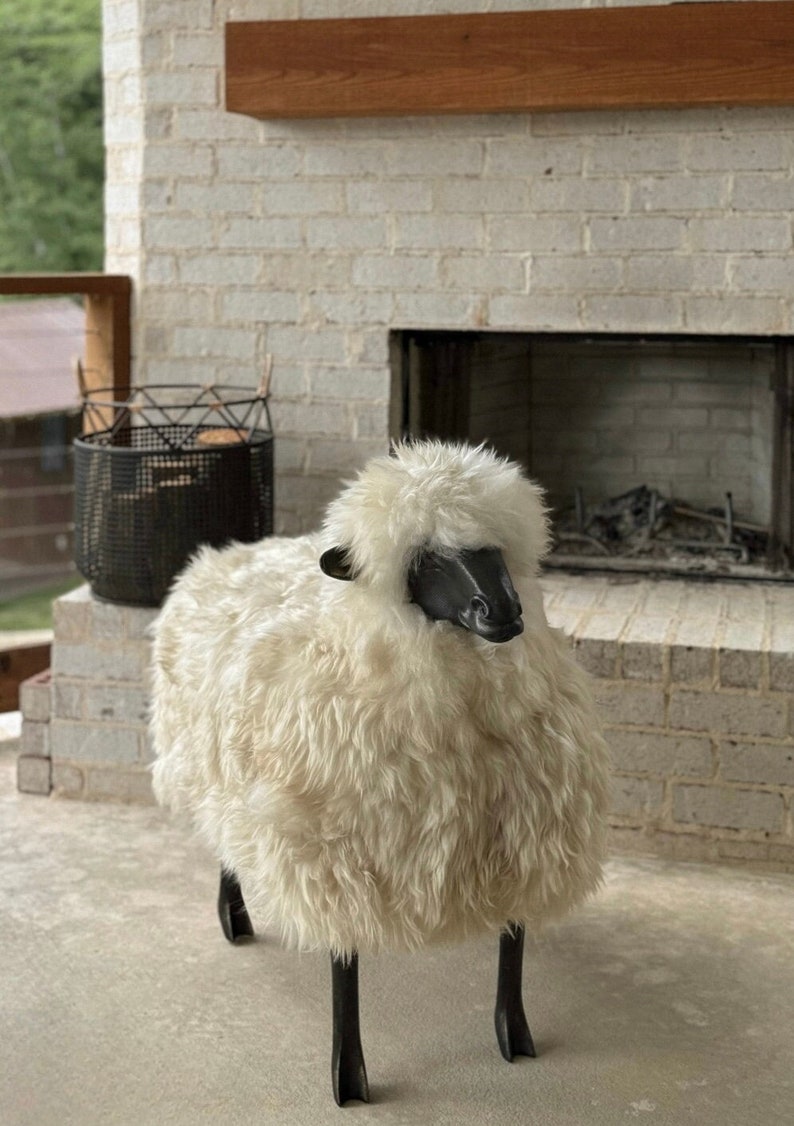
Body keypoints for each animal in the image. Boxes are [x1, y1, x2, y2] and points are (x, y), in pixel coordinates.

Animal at [150, 439, 610, 1105]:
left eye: (496, 548)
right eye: (424, 560)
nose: (502, 609)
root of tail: (233, 550)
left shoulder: (526, 836)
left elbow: (514, 944)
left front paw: (515, 1036)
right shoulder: (340, 860)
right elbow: (346, 972)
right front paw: (349, 1075)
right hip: (208, 768)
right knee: (224, 846)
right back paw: (234, 918)